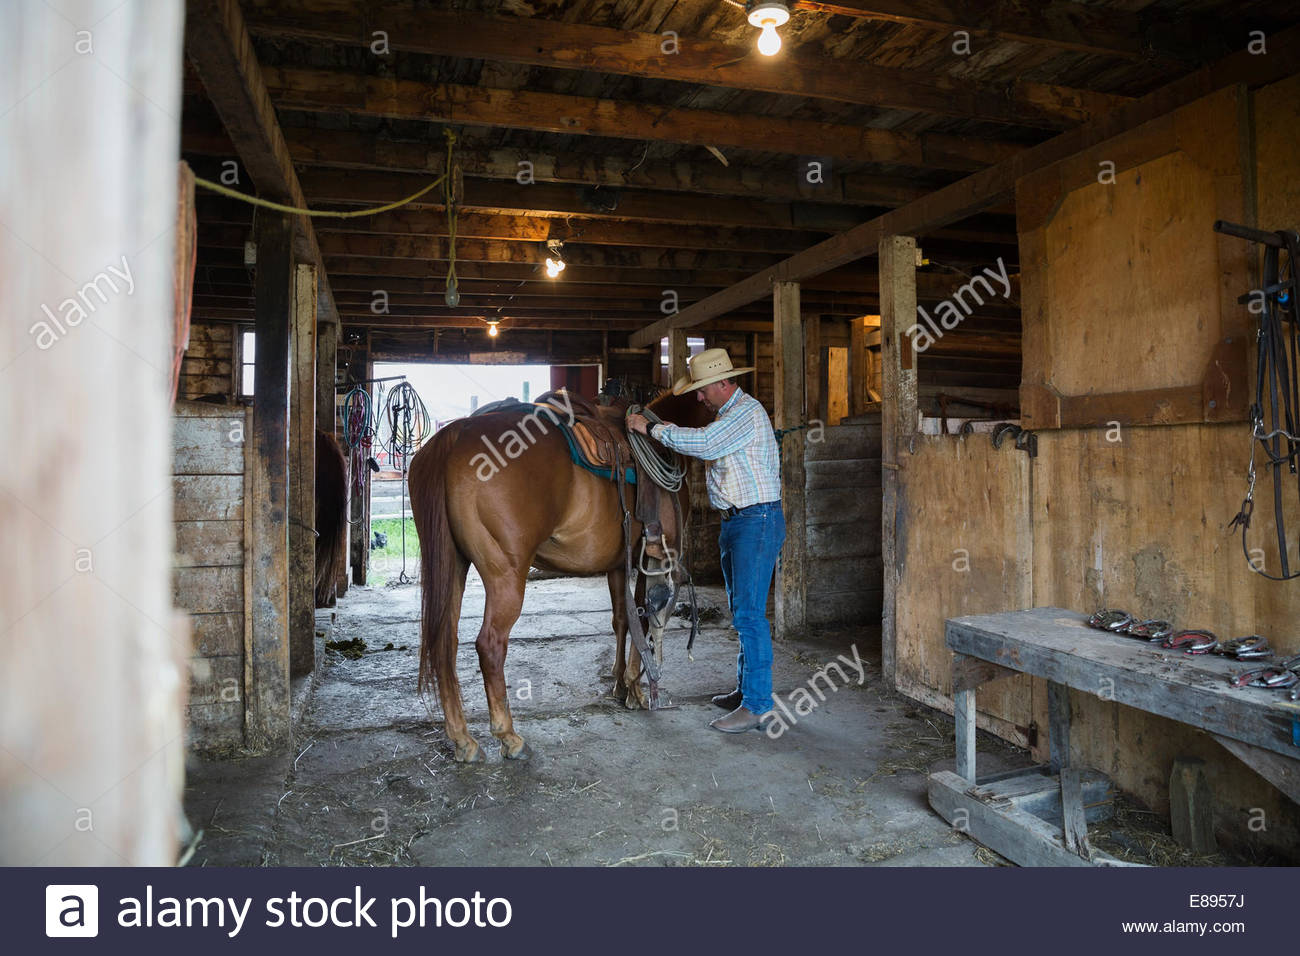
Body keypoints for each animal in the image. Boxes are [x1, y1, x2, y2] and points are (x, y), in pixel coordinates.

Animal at [408, 388, 712, 762]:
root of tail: (456, 434)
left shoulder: (617, 564)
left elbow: (622, 619)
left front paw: (618, 683)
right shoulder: (650, 561)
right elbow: (643, 619)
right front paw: (636, 690)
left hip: (453, 566)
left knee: (445, 643)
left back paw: (462, 739)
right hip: (506, 576)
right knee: (490, 645)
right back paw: (509, 737)